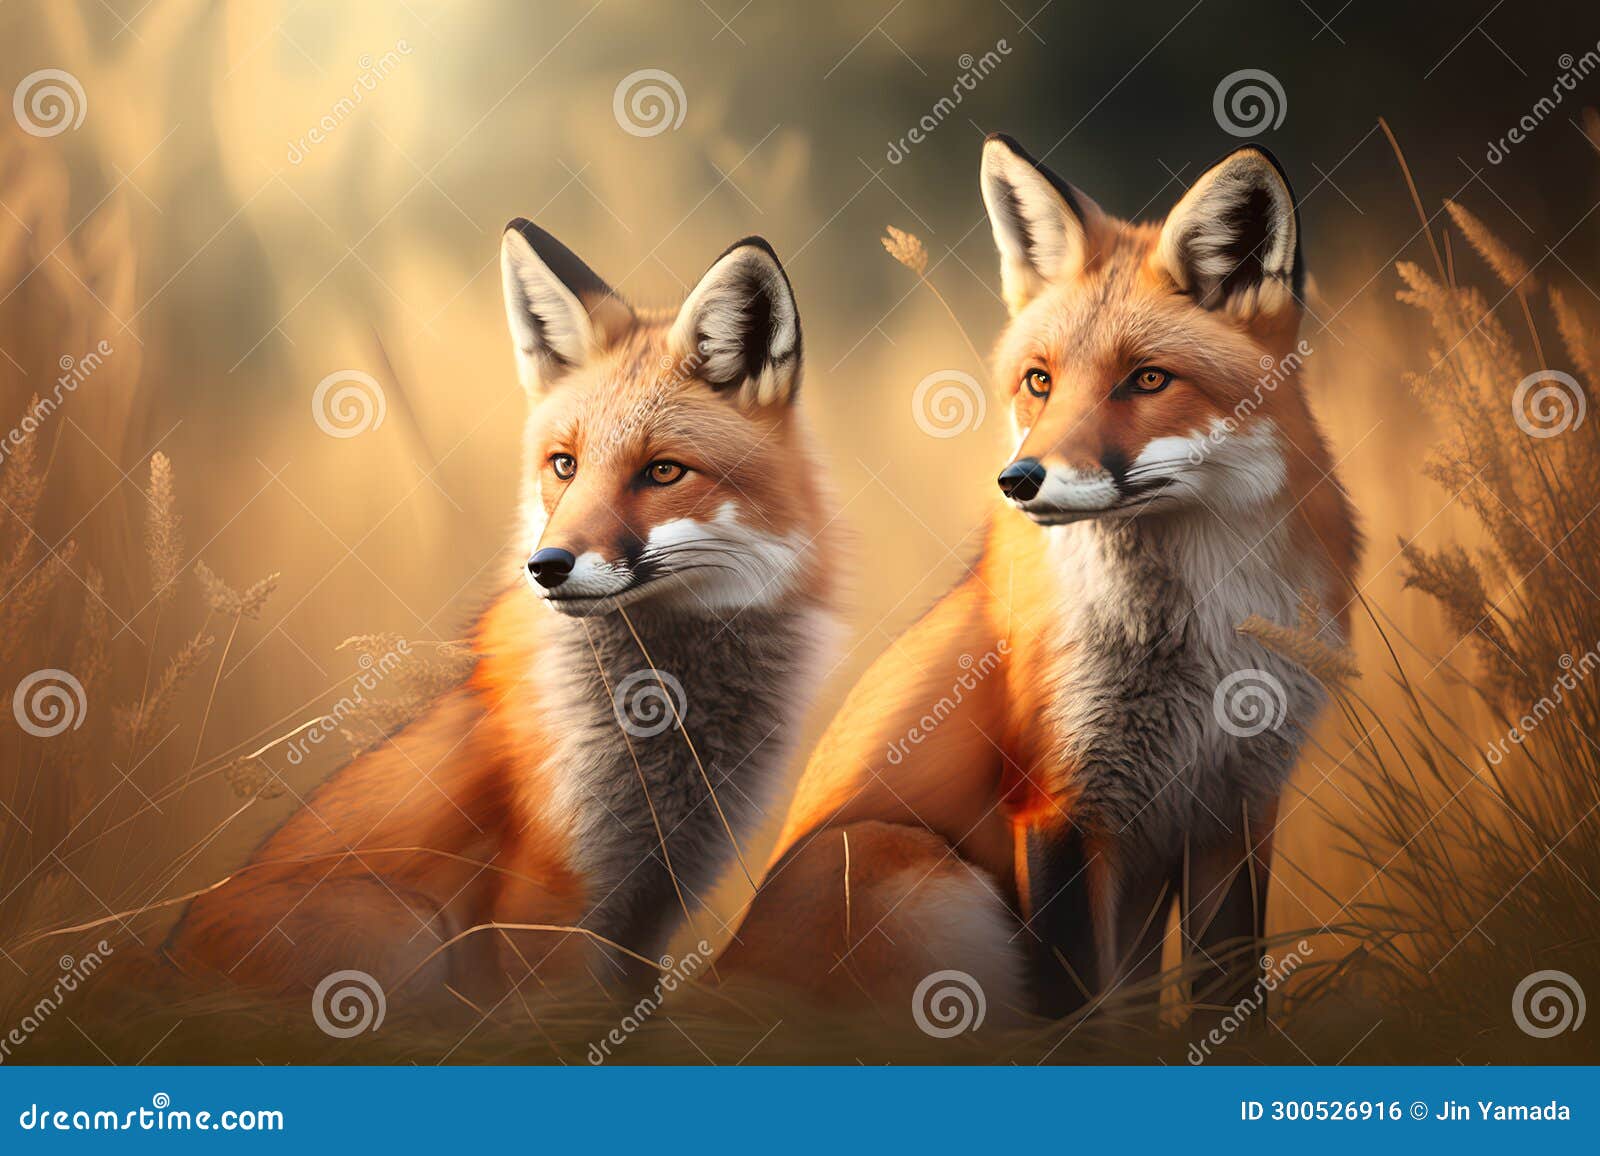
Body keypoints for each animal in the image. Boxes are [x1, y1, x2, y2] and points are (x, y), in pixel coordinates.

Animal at [165, 221, 839, 1004]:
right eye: (564, 465)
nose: (547, 566)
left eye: (664, 471)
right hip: (409, 929)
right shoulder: (549, 909)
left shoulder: (654, 912)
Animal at [721, 136, 1360, 1022]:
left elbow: (1230, 995)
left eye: (1147, 380)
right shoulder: (1055, 801)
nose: (1019, 481)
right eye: (1039, 381)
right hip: (910, 862)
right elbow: (1076, 1011)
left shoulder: (1237, 806)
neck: (1199, 637)